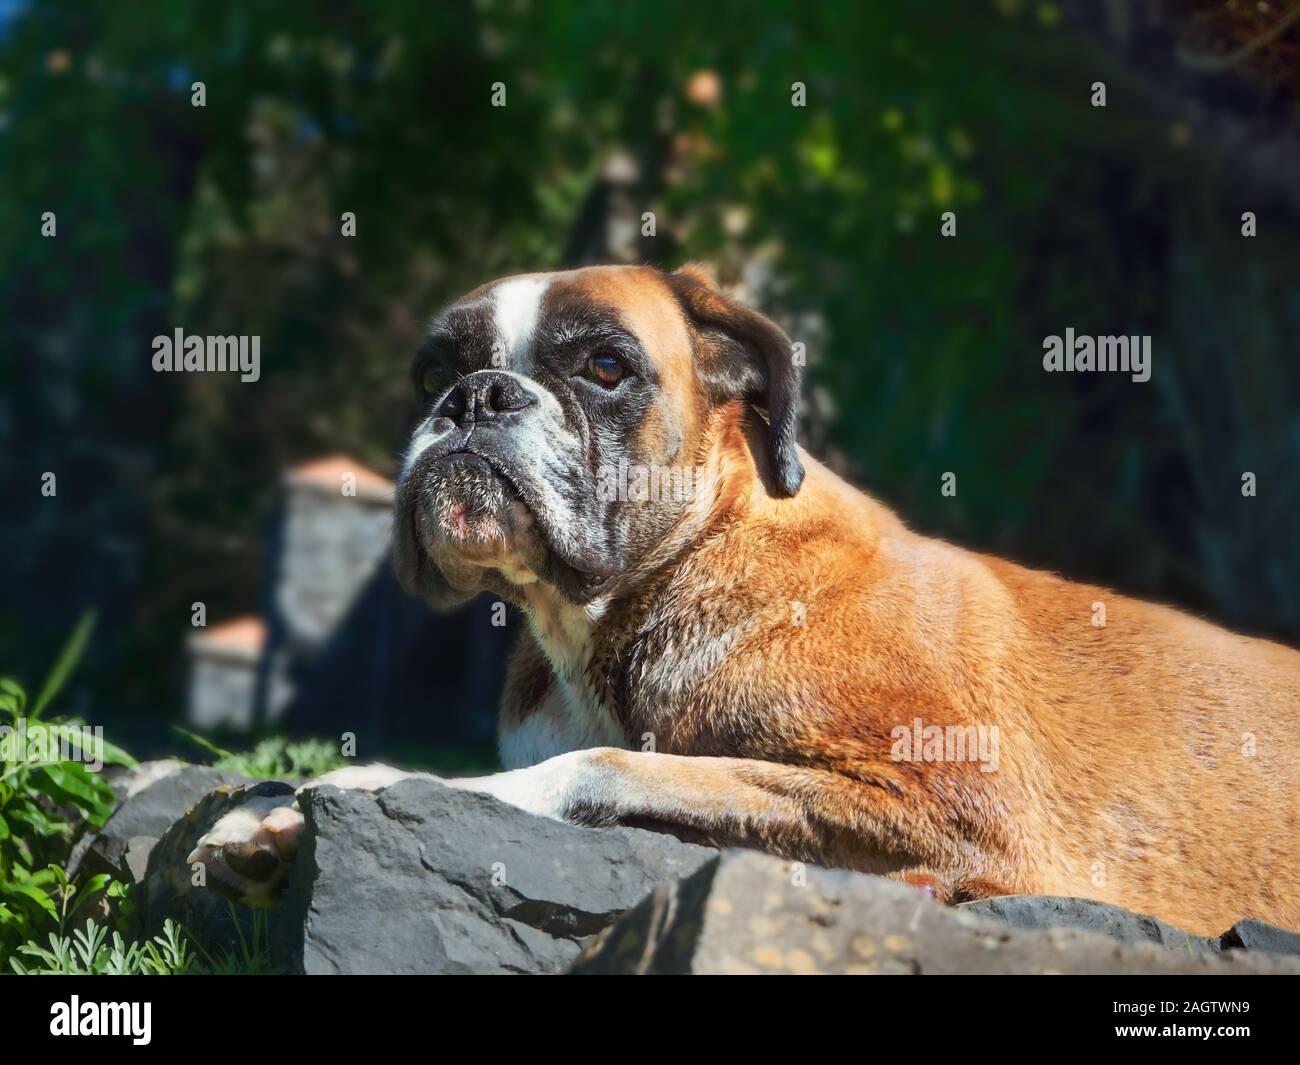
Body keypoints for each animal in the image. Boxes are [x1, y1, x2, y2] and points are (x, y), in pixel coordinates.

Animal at [192, 262, 1300, 936]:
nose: (473, 400)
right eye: (435, 371)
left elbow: (594, 771)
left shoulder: (939, 809)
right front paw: (267, 819)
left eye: (605, 366)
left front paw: (367, 785)